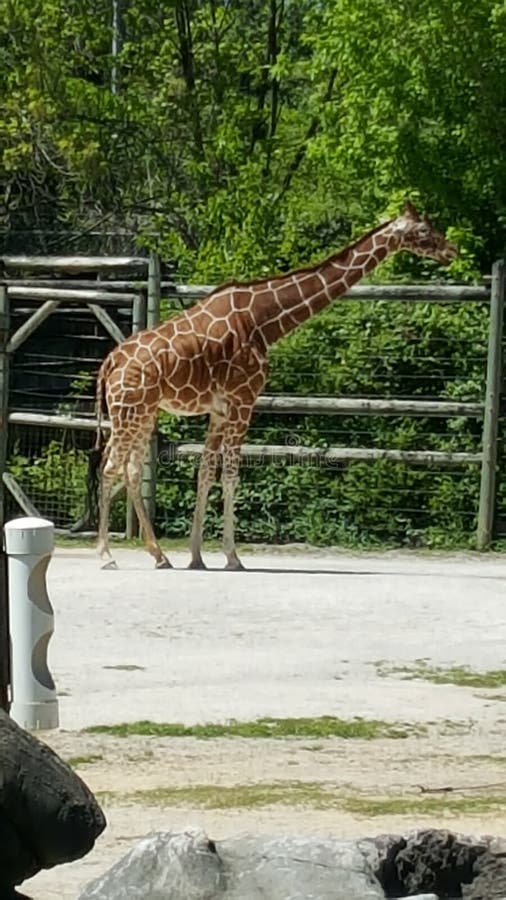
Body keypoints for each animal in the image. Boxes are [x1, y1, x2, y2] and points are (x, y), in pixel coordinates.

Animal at [91, 200, 457, 570]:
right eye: (423, 230)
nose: (451, 251)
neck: (264, 321)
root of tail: (110, 363)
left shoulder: (220, 409)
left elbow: (205, 473)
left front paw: (196, 557)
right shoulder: (244, 400)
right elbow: (231, 475)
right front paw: (232, 556)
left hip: (143, 412)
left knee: (131, 470)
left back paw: (160, 555)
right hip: (130, 410)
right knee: (109, 468)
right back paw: (106, 555)